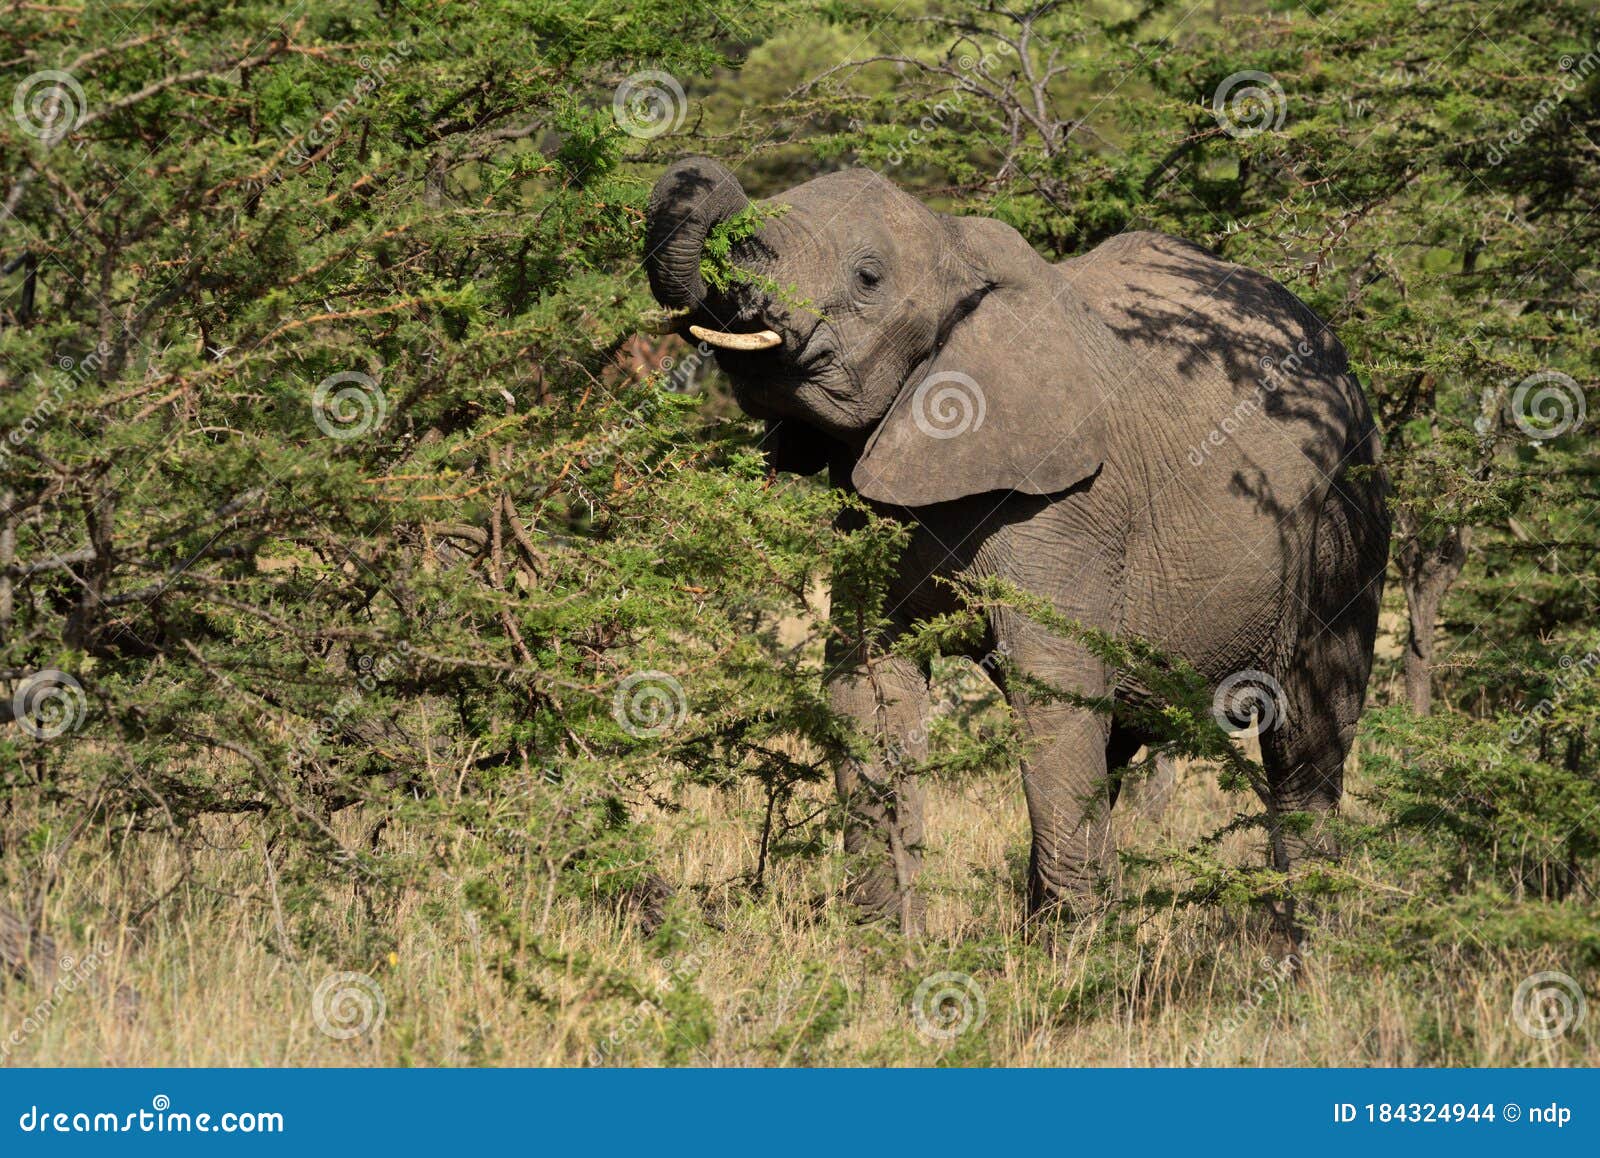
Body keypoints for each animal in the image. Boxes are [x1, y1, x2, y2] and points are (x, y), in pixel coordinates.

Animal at [643, 157, 1391, 932]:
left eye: (868, 277)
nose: (701, 175)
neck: (956, 243)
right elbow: (867, 686)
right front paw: (886, 943)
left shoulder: (1072, 504)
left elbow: (1053, 688)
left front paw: (1075, 960)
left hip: (1348, 512)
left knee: (1306, 739)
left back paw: (1308, 946)